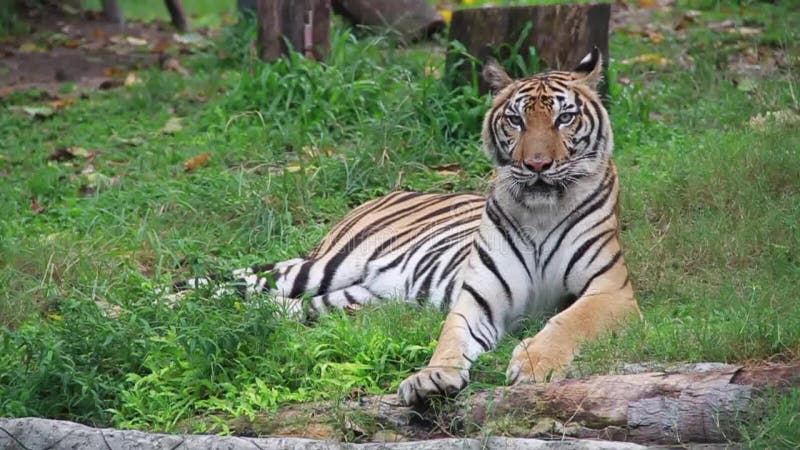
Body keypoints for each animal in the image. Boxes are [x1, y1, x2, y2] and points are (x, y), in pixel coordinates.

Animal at [164, 48, 641, 406]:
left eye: (564, 118)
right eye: (516, 120)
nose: (537, 165)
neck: (541, 211)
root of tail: (389, 192)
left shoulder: (610, 291)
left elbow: (568, 321)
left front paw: (534, 365)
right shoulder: (478, 298)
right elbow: (451, 339)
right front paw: (431, 377)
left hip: (339, 300)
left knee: (262, 306)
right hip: (324, 267)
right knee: (221, 284)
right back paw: (157, 310)